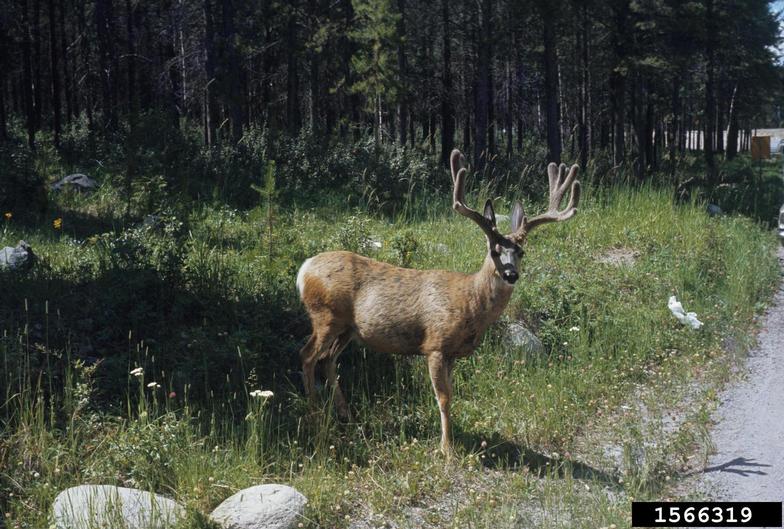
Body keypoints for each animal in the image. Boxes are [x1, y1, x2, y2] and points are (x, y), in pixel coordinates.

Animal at [296, 149, 581, 456]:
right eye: (494, 251)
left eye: (521, 252)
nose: (511, 274)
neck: (469, 303)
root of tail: (304, 270)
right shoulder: (435, 345)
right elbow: (443, 397)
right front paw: (447, 449)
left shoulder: (453, 353)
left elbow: (452, 394)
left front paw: (448, 442)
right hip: (325, 316)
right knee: (308, 355)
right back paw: (314, 415)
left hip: (347, 328)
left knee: (328, 360)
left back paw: (346, 415)